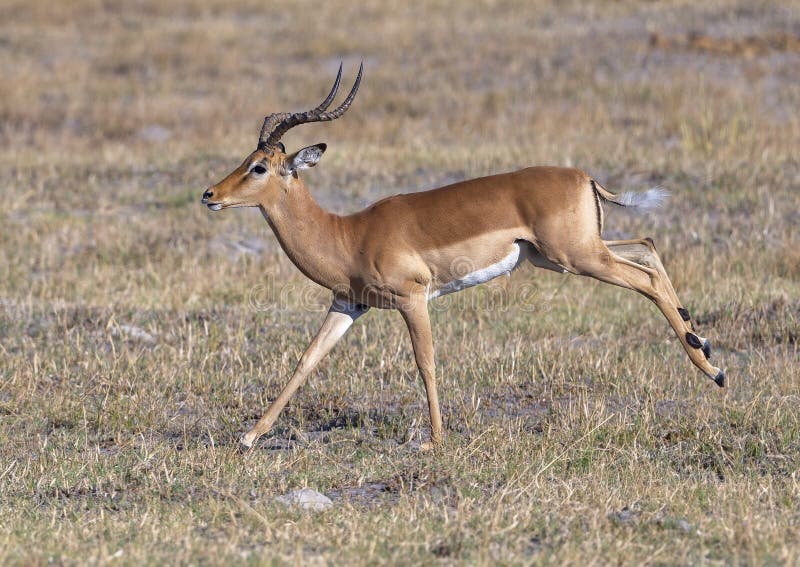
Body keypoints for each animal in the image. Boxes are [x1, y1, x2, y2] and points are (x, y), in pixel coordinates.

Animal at [201, 64, 724, 450]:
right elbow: (306, 360)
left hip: (578, 257)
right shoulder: (349, 304)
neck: (347, 234)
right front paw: (248, 438)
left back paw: (713, 370)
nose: (209, 195)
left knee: (646, 277)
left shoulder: (413, 300)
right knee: (648, 248)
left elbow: (425, 363)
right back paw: (705, 350)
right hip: (562, 255)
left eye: (259, 166)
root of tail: (585, 178)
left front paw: (434, 440)